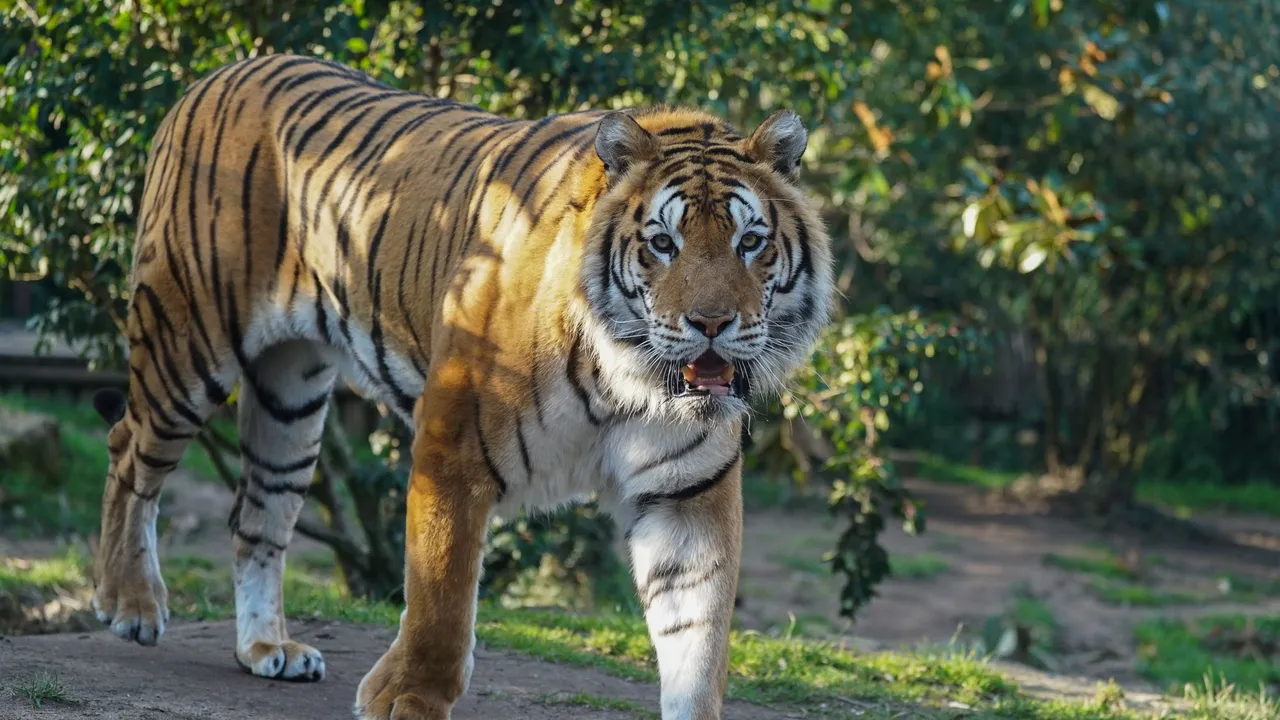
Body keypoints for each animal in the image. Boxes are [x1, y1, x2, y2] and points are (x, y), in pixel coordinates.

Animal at [87, 53, 833, 719]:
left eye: (750, 242)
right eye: (662, 244)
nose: (711, 324)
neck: (631, 377)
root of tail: (215, 75)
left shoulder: (688, 495)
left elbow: (696, 642)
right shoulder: (454, 444)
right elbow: (440, 596)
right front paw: (407, 699)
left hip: (290, 396)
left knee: (257, 515)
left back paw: (267, 647)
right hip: (186, 337)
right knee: (129, 448)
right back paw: (128, 602)